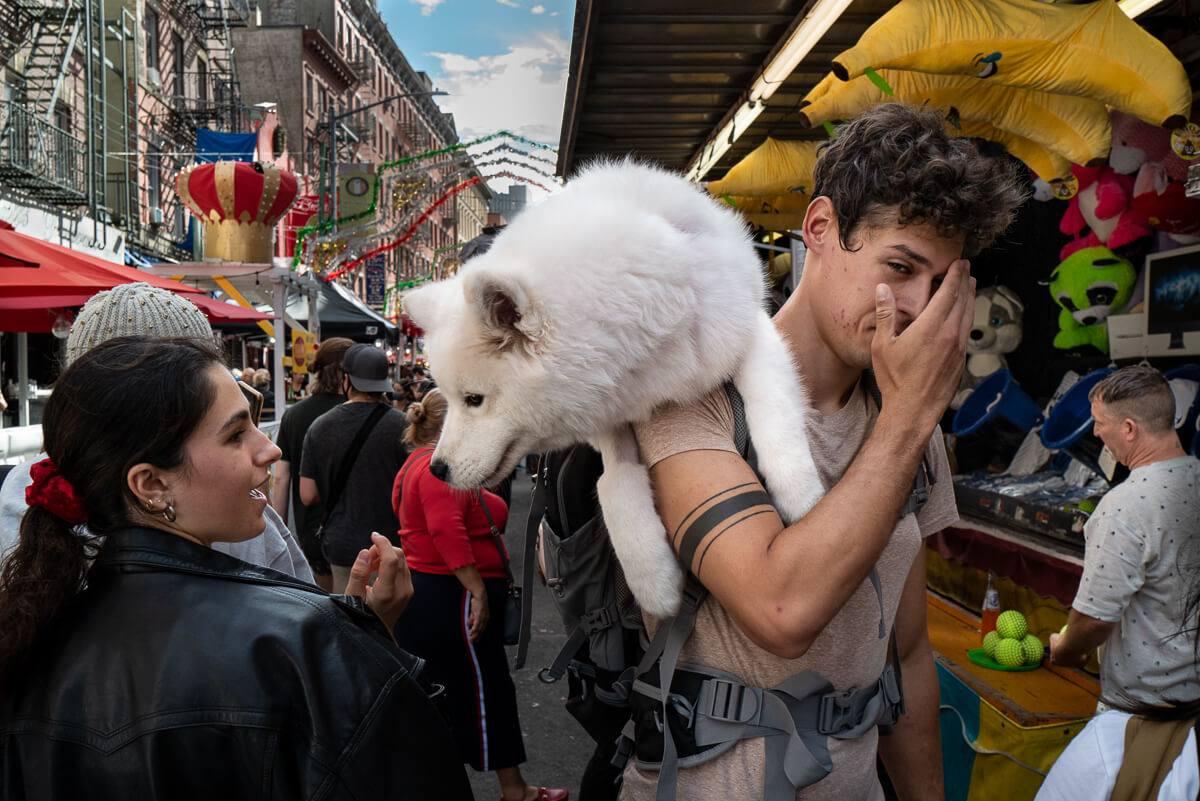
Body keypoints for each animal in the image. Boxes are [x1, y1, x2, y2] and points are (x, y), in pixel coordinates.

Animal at [403, 159, 825, 618]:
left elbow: (773, 404)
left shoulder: (746, 330)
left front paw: (800, 493)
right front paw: (655, 582)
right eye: (451, 398)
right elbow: (616, 482)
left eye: (474, 400)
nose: (436, 470)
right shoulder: (610, 406)